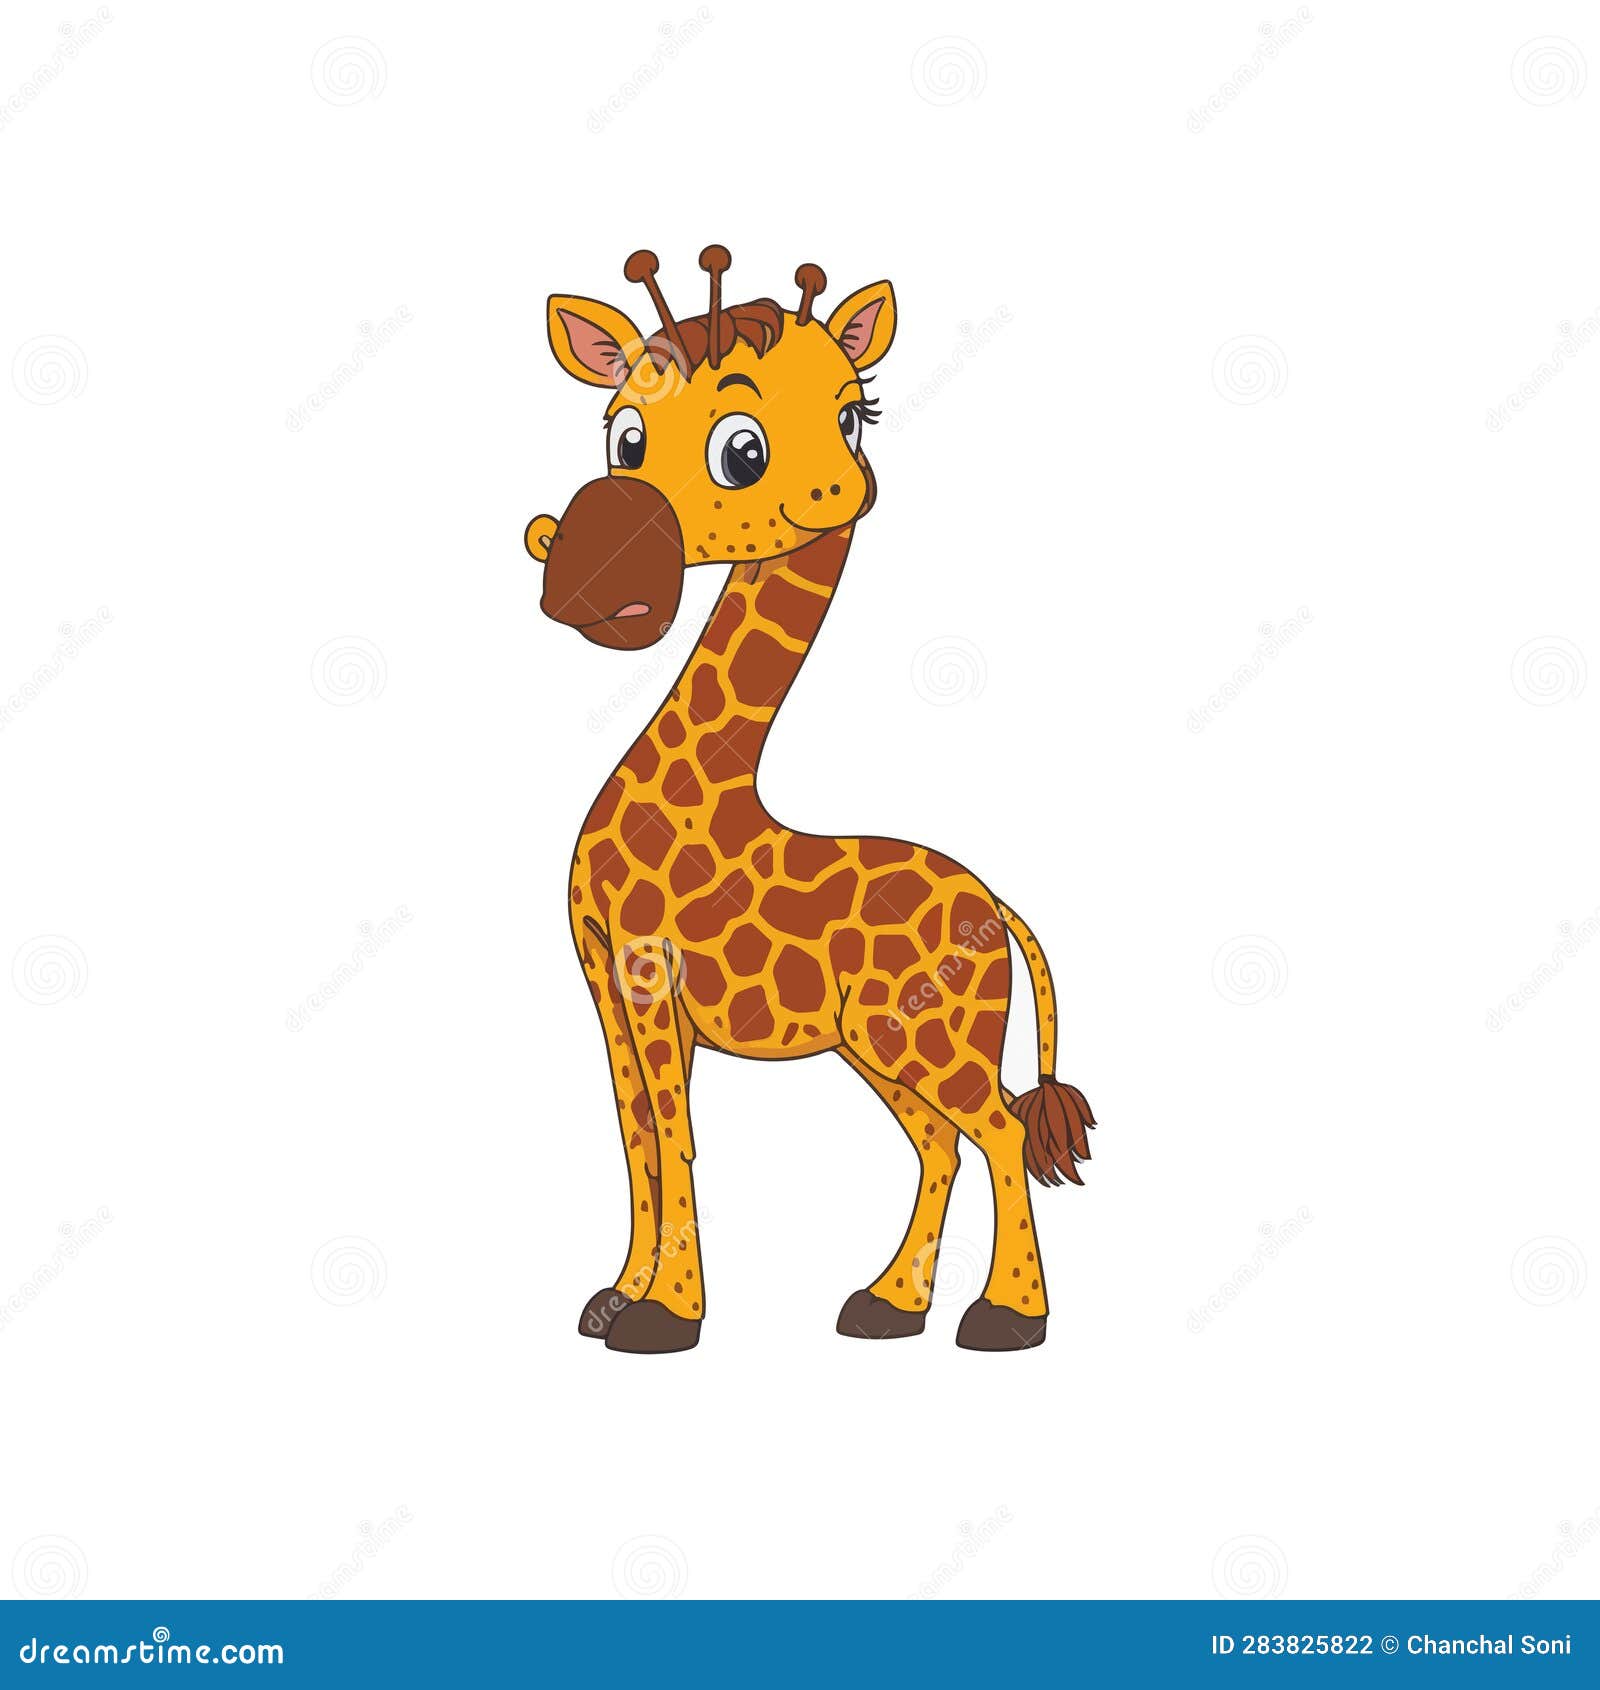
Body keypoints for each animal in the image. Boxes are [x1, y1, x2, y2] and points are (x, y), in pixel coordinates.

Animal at [528, 246, 1097, 1353]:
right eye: (624, 436)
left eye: (742, 450)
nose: (589, 586)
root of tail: (998, 905)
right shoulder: (606, 983)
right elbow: (637, 1139)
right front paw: (617, 1294)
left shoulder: (653, 978)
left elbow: (678, 1138)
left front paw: (665, 1317)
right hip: (878, 1046)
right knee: (939, 1141)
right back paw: (888, 1304)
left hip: (931, 1038)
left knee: (999, 1125)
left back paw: (1005, 1317)